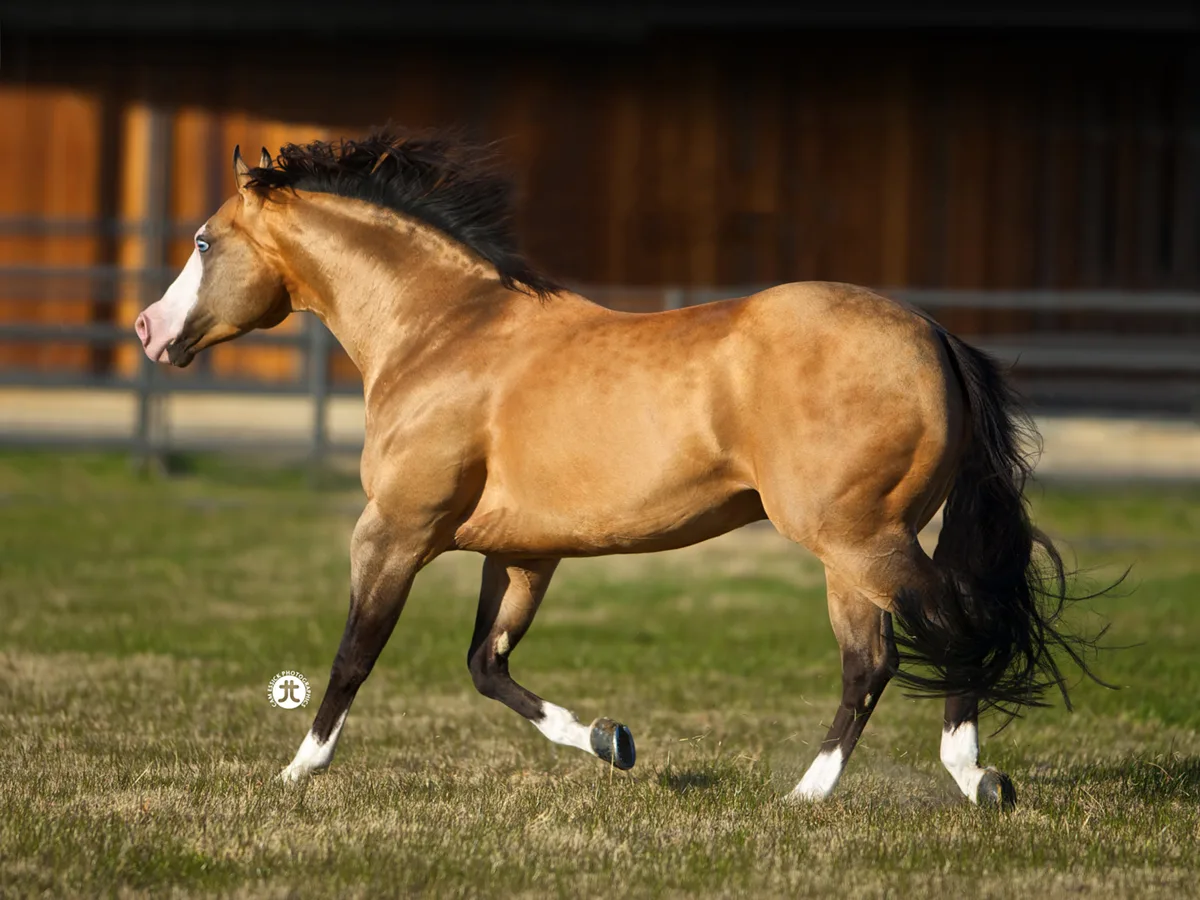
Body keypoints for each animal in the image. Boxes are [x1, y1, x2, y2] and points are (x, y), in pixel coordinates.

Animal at [134, 130, 1102, 808]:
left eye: (203, 241)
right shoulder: (520, 554)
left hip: (861, 539)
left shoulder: (395, 531)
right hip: (851, 552)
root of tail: (932, 333)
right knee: (873, 662)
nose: (148, 331)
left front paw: (297, 773)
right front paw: (612, 740)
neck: (444, 332)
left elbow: (352, 656)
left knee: (953, 627)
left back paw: (968, 780)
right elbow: (487, 667)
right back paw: (814, 792)